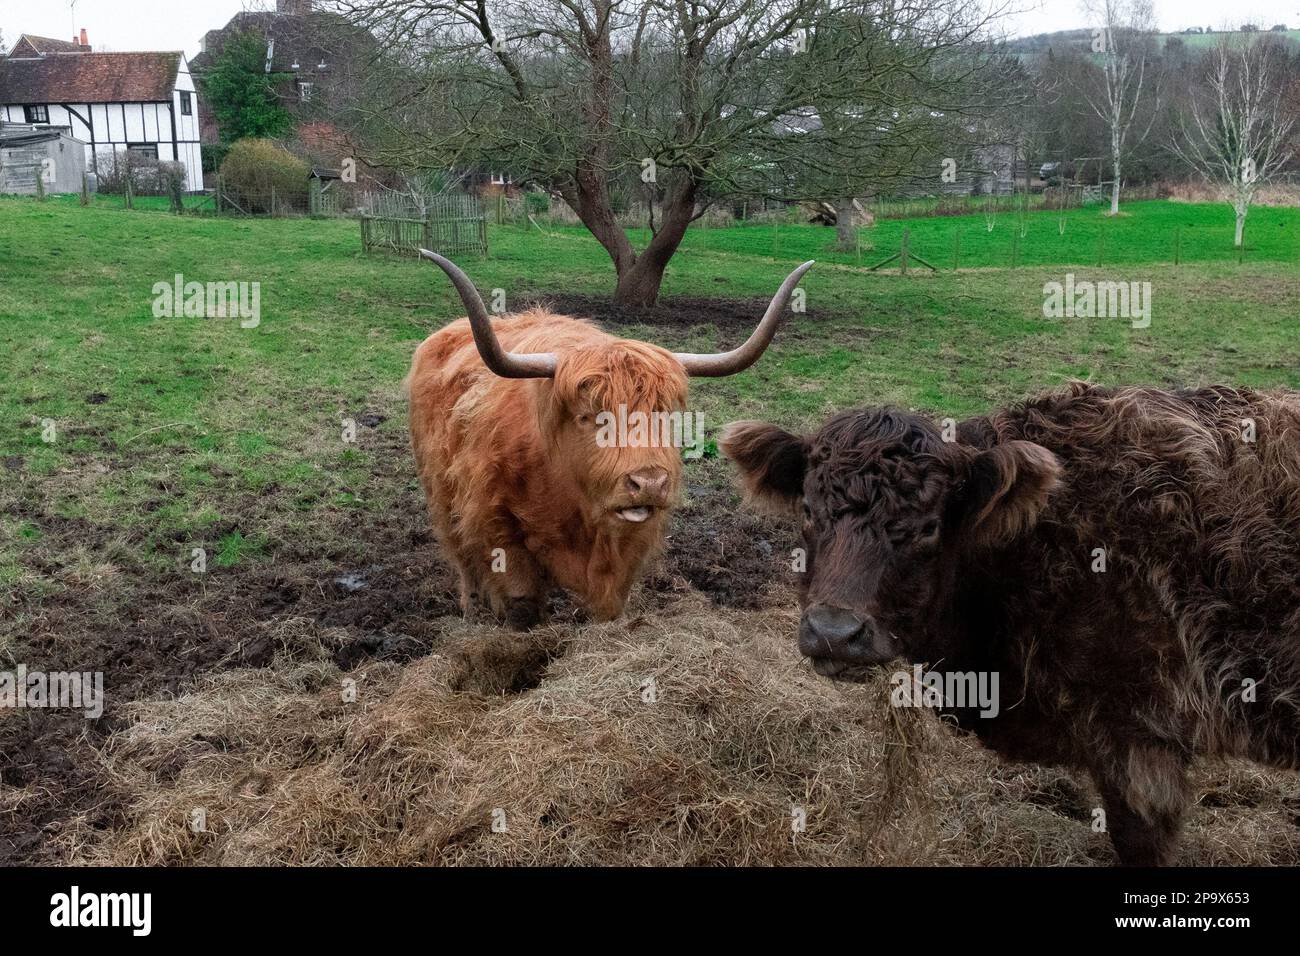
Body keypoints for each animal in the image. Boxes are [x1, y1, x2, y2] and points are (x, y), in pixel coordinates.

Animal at [408, 251, 813, 628]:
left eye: (664, 414)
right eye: (587, 416)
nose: (649, 483)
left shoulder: (627, 549)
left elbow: (608, 606)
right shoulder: (497, 525)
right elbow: (522, 603)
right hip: (440, 492)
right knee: (460, 554)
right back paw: (470, 606)